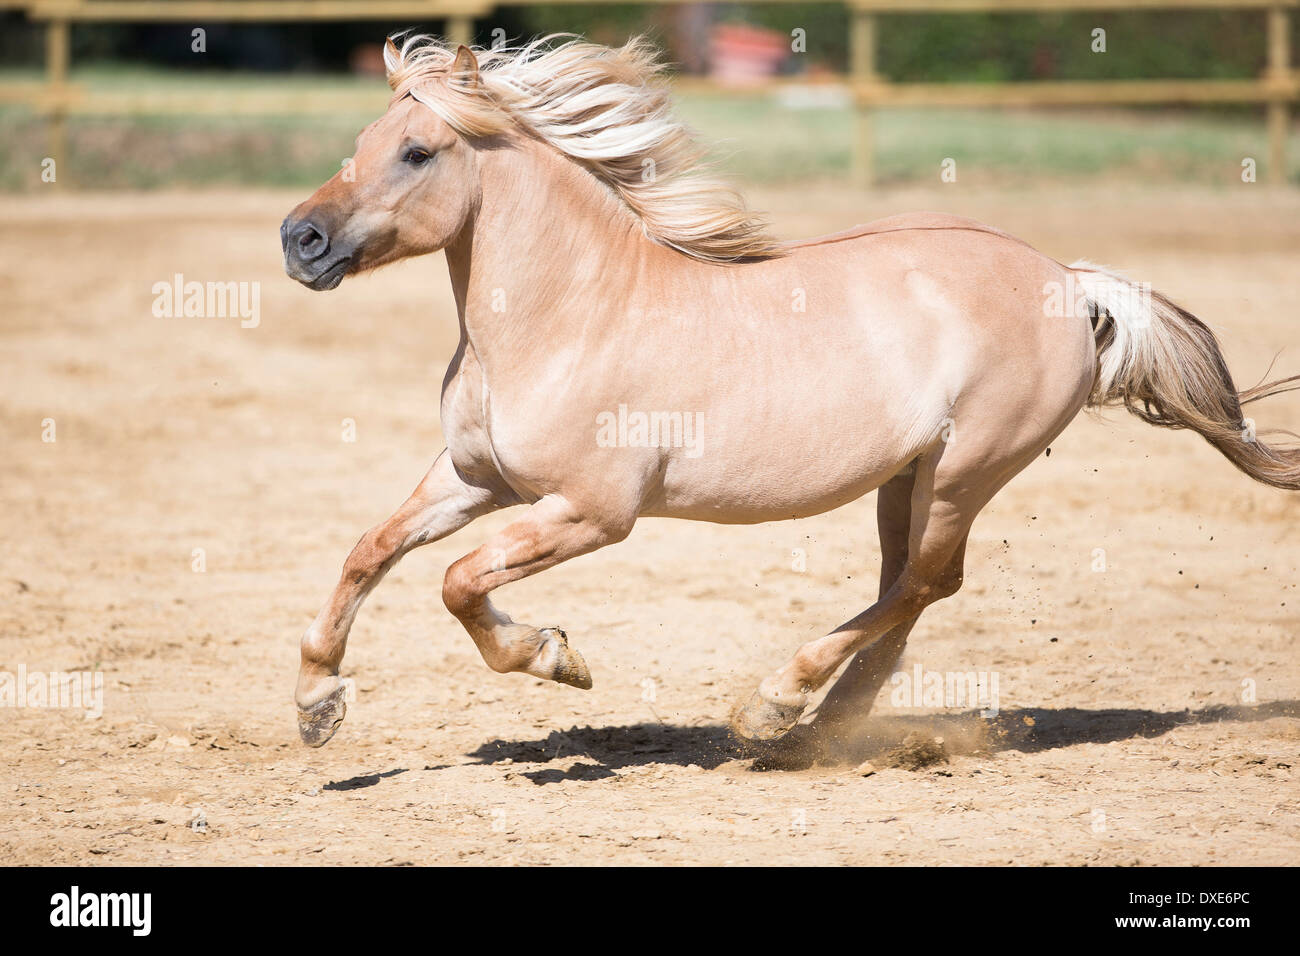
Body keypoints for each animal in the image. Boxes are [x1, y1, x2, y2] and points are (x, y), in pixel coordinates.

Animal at [282, 34, 1300, 751]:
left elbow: (458, 583)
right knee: (909, 589)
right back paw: (826, 723)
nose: (301, 240)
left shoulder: (593, 513)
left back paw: (774, 705)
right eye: (361, 143)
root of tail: (1068, 280)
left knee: (923, 581)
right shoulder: (474, 478)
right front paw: (318, 704)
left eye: (417, 153)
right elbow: (370, 552)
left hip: (970, 469)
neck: (569, 316)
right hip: (909, 476)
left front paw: (555, 658)